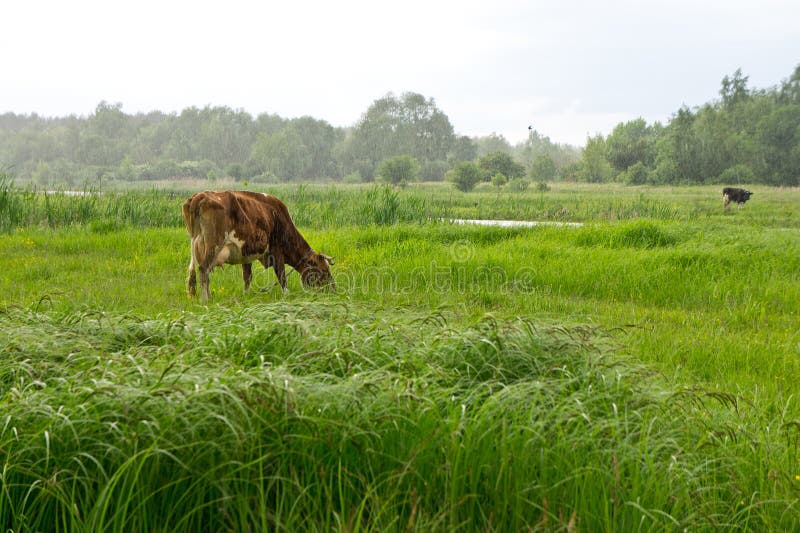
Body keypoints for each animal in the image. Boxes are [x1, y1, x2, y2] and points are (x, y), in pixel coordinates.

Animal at [182, 190, 334, 301]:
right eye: (324, 270)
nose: (334, 290)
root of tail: (200, 196)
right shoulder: (276, 251)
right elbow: (282, 276)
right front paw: (287, 296)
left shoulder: (246, 254)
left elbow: (247, 277)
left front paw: (246, 296)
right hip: (214, 245)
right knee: (203, 269)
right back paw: (205, 300)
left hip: (197, 247)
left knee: (200, 272)